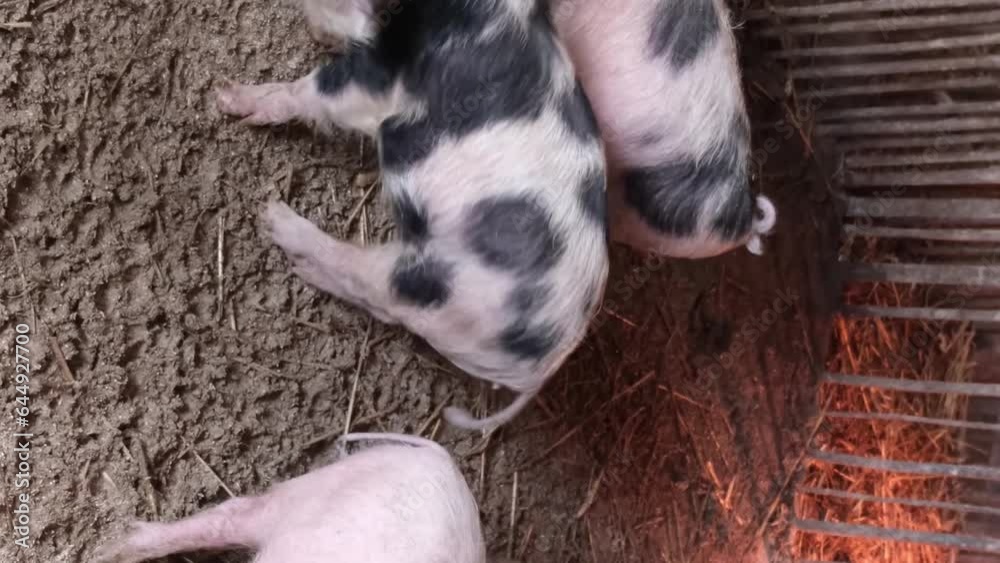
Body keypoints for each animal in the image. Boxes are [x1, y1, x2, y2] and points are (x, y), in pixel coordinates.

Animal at [215, 0, 609, 431]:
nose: (313, 30)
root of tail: (544, 364)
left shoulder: (376, 76)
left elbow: (312, 90)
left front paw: (226, 98)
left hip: (430, 283)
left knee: (368, 285)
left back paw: (278, 223)